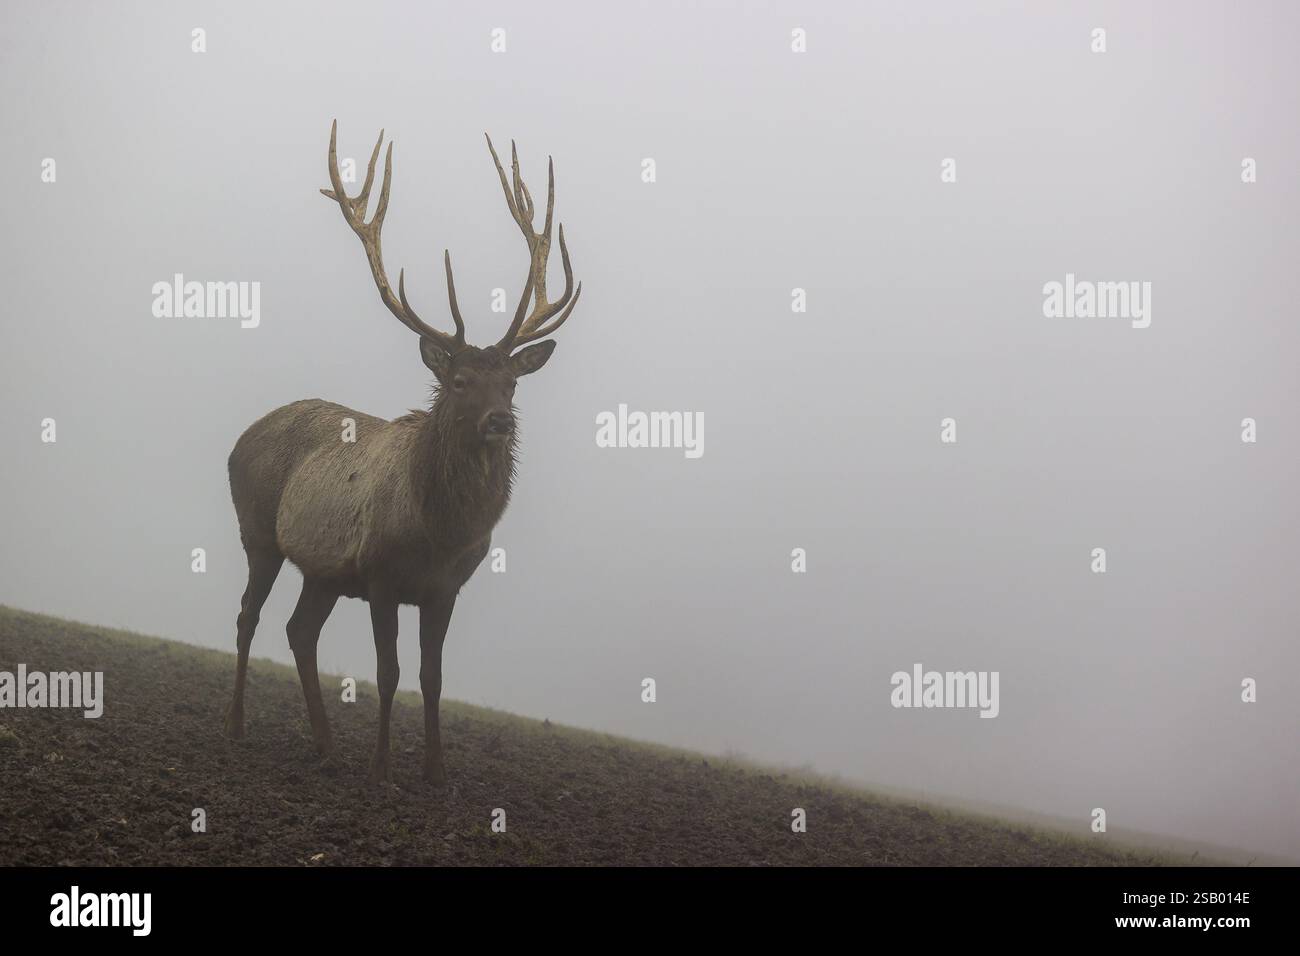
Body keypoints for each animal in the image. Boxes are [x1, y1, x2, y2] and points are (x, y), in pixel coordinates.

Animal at [221, 121, 582, 785]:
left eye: (511, 384)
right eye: (459, 381)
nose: (500, 421)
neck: (440, 531)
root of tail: (239, 438)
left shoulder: (445, 589)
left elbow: (431, 678)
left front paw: (436, 771)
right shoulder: (381, 574)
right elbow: (387, 674)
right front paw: (383, 764)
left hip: (323, 571)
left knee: (298, 631)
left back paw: (326, 745)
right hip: (258, 530)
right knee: (249, 618)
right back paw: (236, 726)